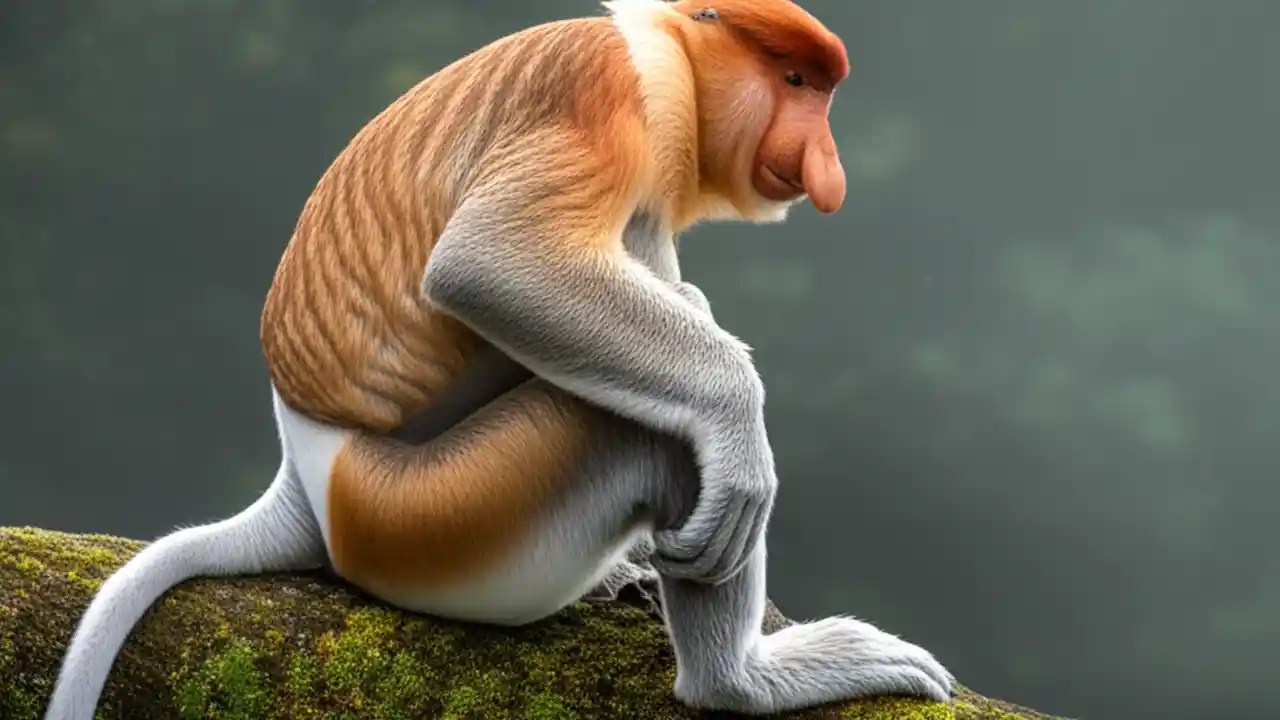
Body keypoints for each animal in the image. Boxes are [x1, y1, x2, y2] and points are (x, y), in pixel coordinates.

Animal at [43, 1, 955, 718]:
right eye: (796, 81)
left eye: (821, 89)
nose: (826, 166)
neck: (669, 62)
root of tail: (306, 478)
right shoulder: (605, 99)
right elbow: (487, 263)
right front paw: (740, 434)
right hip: (433, 518)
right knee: (652, 436)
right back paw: (740, 682)